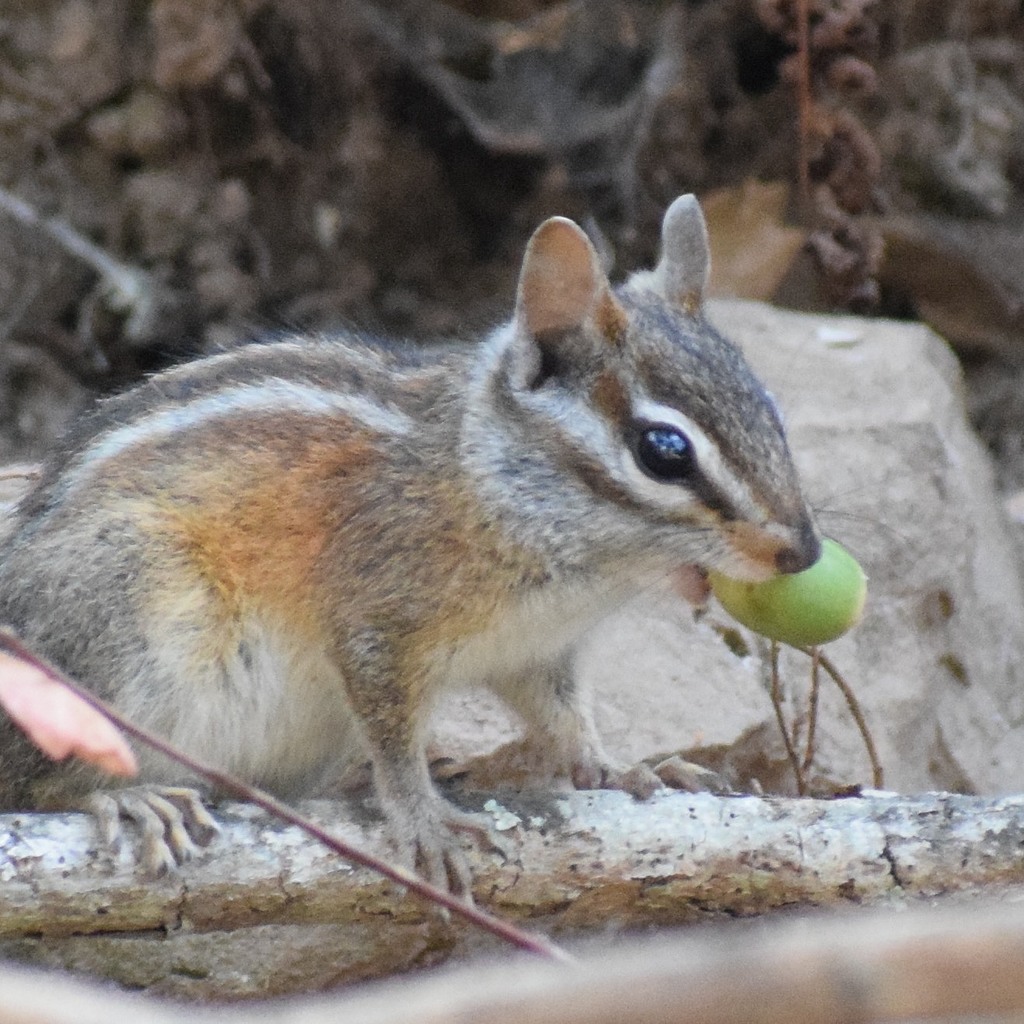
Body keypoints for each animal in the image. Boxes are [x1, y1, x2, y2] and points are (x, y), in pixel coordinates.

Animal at [0, 195, 819, 894]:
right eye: (663, 451)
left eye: (772, 409)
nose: (803, 554)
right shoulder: (378, 622)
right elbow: (394, 739)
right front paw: (424, 816)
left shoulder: (538, 653)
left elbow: (565, 720)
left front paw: (624, 769)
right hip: (127, 606)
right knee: (36, 781)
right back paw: (126, 801)